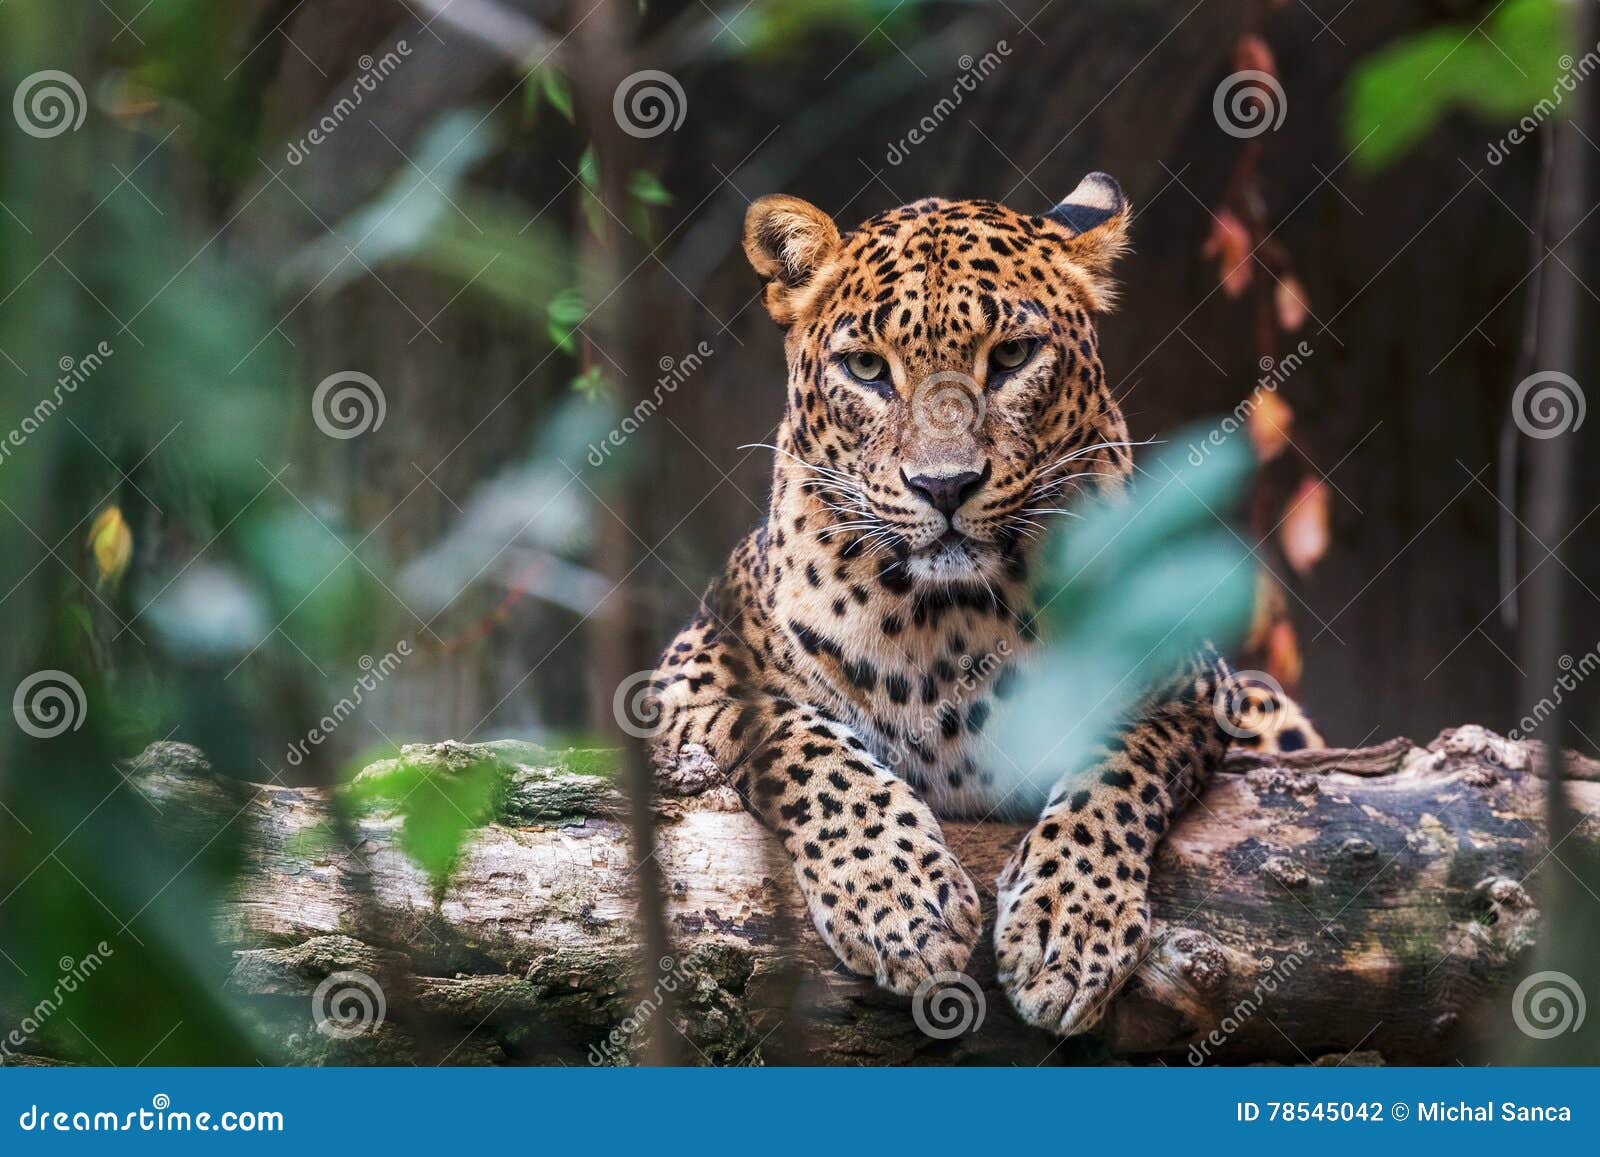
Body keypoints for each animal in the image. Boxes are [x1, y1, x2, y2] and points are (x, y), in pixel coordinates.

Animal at [647, 173, 1323, 1037]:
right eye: (866, 367)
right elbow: (809, 748)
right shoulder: (684, 679)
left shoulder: (1196, 688)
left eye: (1010, 356)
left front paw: (1069, 929)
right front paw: (903, 904)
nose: (945, 486)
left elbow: (1116, 768)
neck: (950, 619)